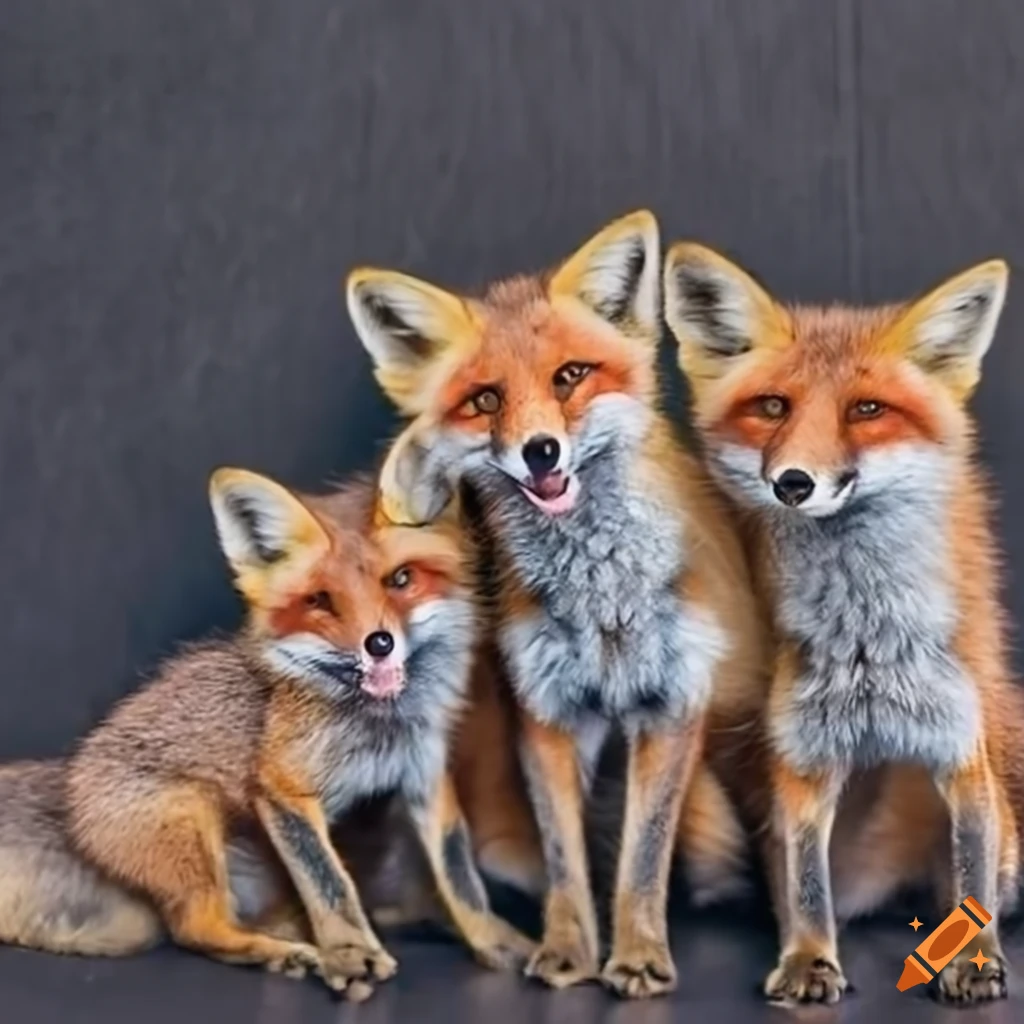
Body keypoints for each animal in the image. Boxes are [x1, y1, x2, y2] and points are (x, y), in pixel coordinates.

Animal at [0, 466, 533, 999]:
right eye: (321, 601)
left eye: (401, 580)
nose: (379, 644)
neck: (380, 727)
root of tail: (69, 781)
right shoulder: (283, 788)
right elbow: (330, 882)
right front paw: (351, 954)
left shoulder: (426, 778)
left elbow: (462, 881)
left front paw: (497, 943)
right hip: (193, 818)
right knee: (196, 929)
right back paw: (284, 952)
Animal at [345, 210, 768, 999]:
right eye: (485, 400)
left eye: (569, 377)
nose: (540, 451)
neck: (602, 601)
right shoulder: (545, 712)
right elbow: (566, 861)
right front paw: (569, 951)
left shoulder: (672, 708)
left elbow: (641, 860)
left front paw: (637, 957)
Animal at [663, 242, 1024, 1006]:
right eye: (773, 406)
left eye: (867, 410)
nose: (793, 483)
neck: (867, 641)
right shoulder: (802, 757)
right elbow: (805, 883)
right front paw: (808, 961)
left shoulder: (960, 751)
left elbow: (972, 879)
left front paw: (976, 959)